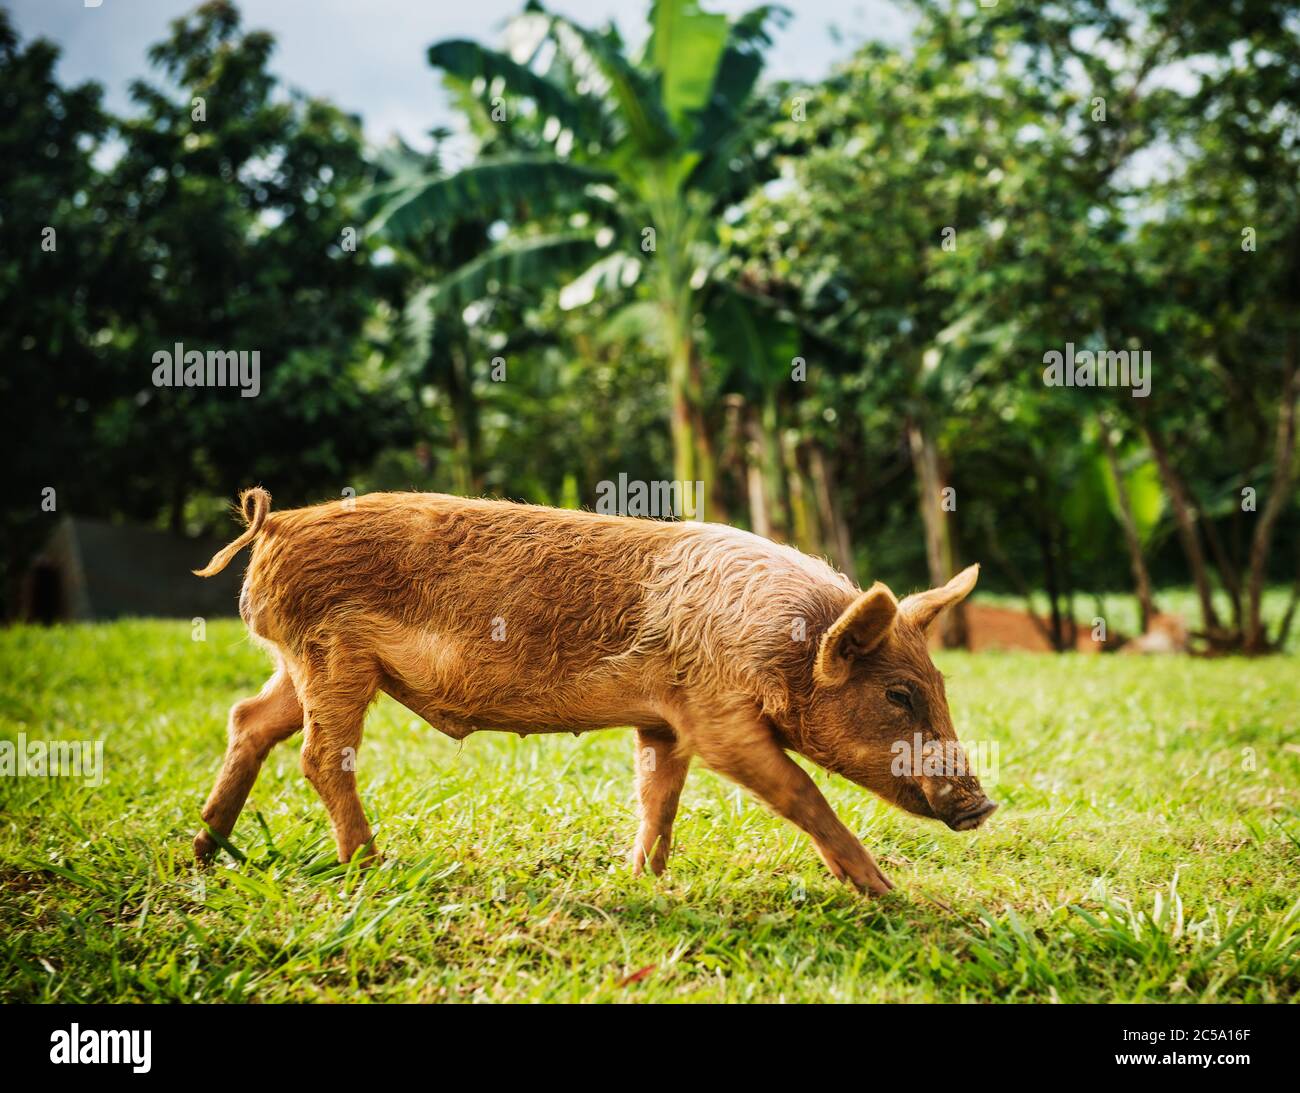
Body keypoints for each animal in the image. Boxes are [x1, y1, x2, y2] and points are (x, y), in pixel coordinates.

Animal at [193, 488, 996, 894]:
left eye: (938, 684)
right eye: (899, 695)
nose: (981, 804)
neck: (778, 647)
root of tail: (276, 522)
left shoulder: (666, 719)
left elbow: (658, 794)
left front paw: (640, 877)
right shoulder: (718, 719)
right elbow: (800, 791)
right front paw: (887, 892)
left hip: (300, 663)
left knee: (249, 719)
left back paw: (205, 851)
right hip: (333, 657)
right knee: (319, 756)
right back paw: (372, 866)